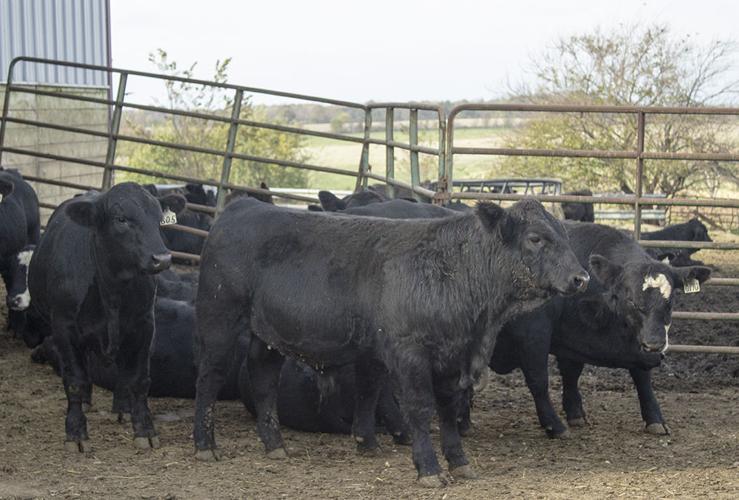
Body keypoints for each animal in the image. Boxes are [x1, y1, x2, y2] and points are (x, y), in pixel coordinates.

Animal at [27, 183, 186, 453]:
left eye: (159, 219)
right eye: (121, 219)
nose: (162, 259)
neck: (112, 285)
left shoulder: (144, 324)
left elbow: (138, 379)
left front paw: (144, 429)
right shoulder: (64, 327)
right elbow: (75, 380)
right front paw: (76, 433)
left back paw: (122, 407)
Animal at [192, 197, 589, 487]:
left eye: (565, 235)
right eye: (535, 238)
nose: (581, 278)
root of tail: (243, 205)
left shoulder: (452, 356)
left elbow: (446, 408)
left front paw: (459, 462)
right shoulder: (410, 353)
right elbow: (420, 409)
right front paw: (429, 469)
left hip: (268, 336)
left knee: (263, 381)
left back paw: (275, 445)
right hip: (219, 319)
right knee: (209, 378)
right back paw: (204, 445)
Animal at [481, 221, 711, 439]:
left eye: (670, 301)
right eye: (631, 300)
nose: (655, 344)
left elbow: (581, 374)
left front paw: (654, 419)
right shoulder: (534, 335)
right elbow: (539, 380)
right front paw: (555, 425)